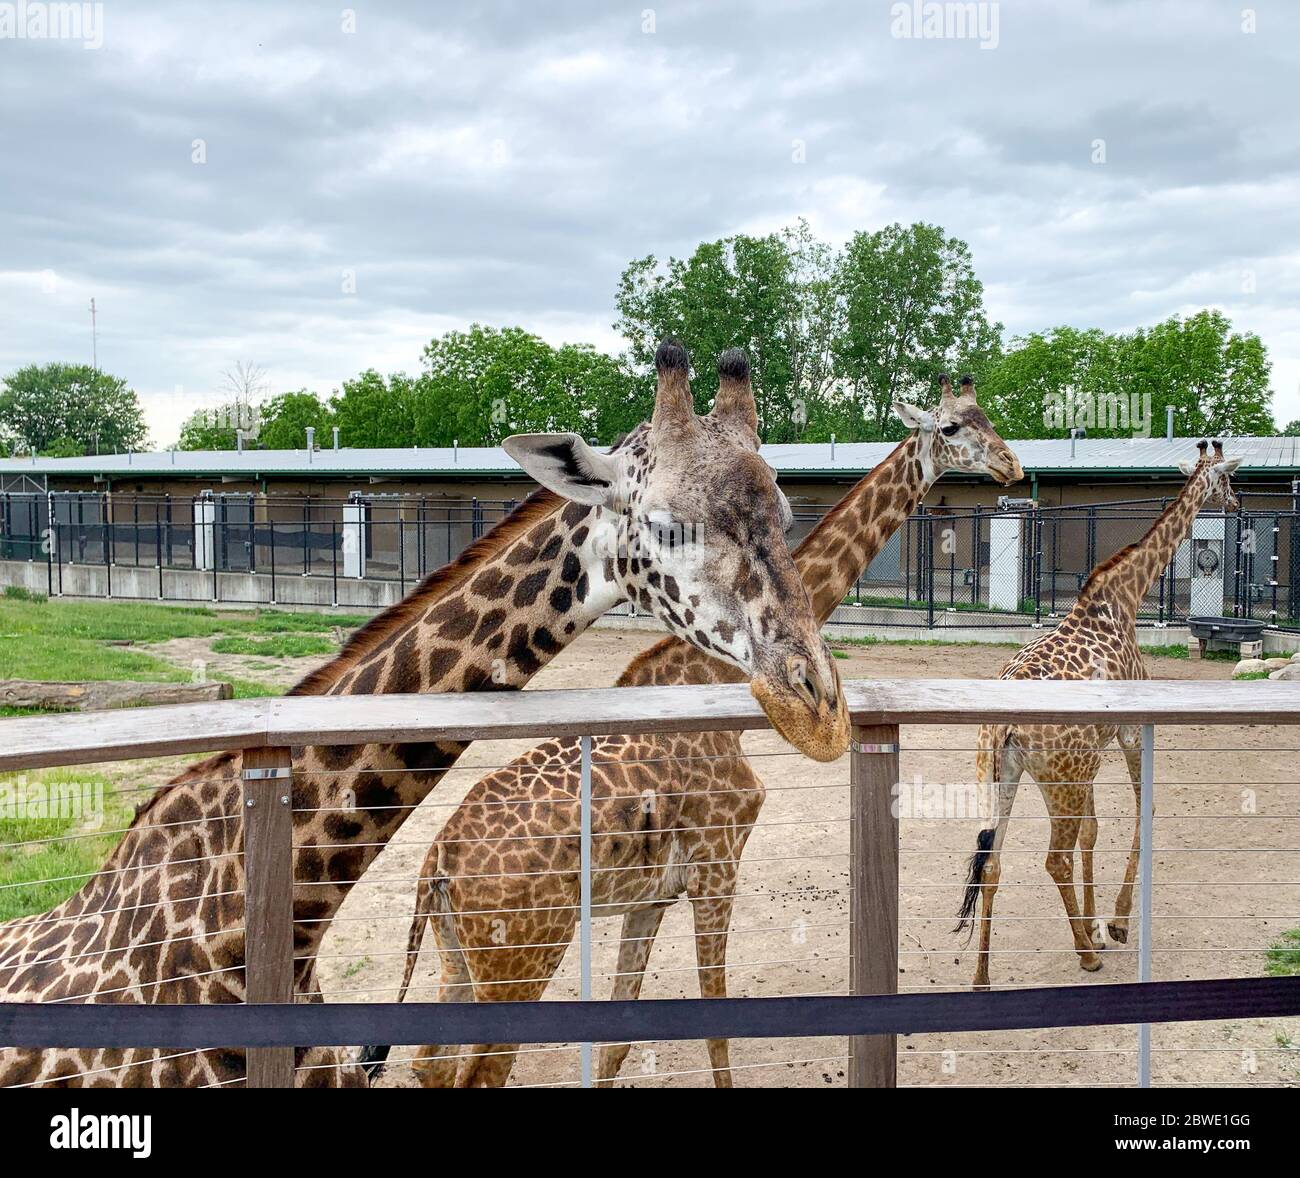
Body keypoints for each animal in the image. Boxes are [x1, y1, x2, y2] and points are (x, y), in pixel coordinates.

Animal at [364, 375, 1023, 1087]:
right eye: (954, 428)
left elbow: (617, 1041)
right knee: (477, 1069)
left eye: (988, 417)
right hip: (520, 957)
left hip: (459, 954)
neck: (708, 671)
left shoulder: (652, 898)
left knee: (431, 1062)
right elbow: (717, 1026)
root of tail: (435, 863)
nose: (1011, 466)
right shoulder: (718, 865)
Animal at [955, 440, 1241, 990]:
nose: (1237, 505)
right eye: (1228, 479)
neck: (1125, 598)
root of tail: (1001, 726)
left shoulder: (1096, 752)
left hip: (1002, 776)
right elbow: (1143, 810)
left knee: (994, 863)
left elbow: (1094, 831)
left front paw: (1094, 923)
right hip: (1059, 780)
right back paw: (1086, 955)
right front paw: (1114, 923)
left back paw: (983, 976)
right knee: (1053, 859)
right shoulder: (1129, 731)